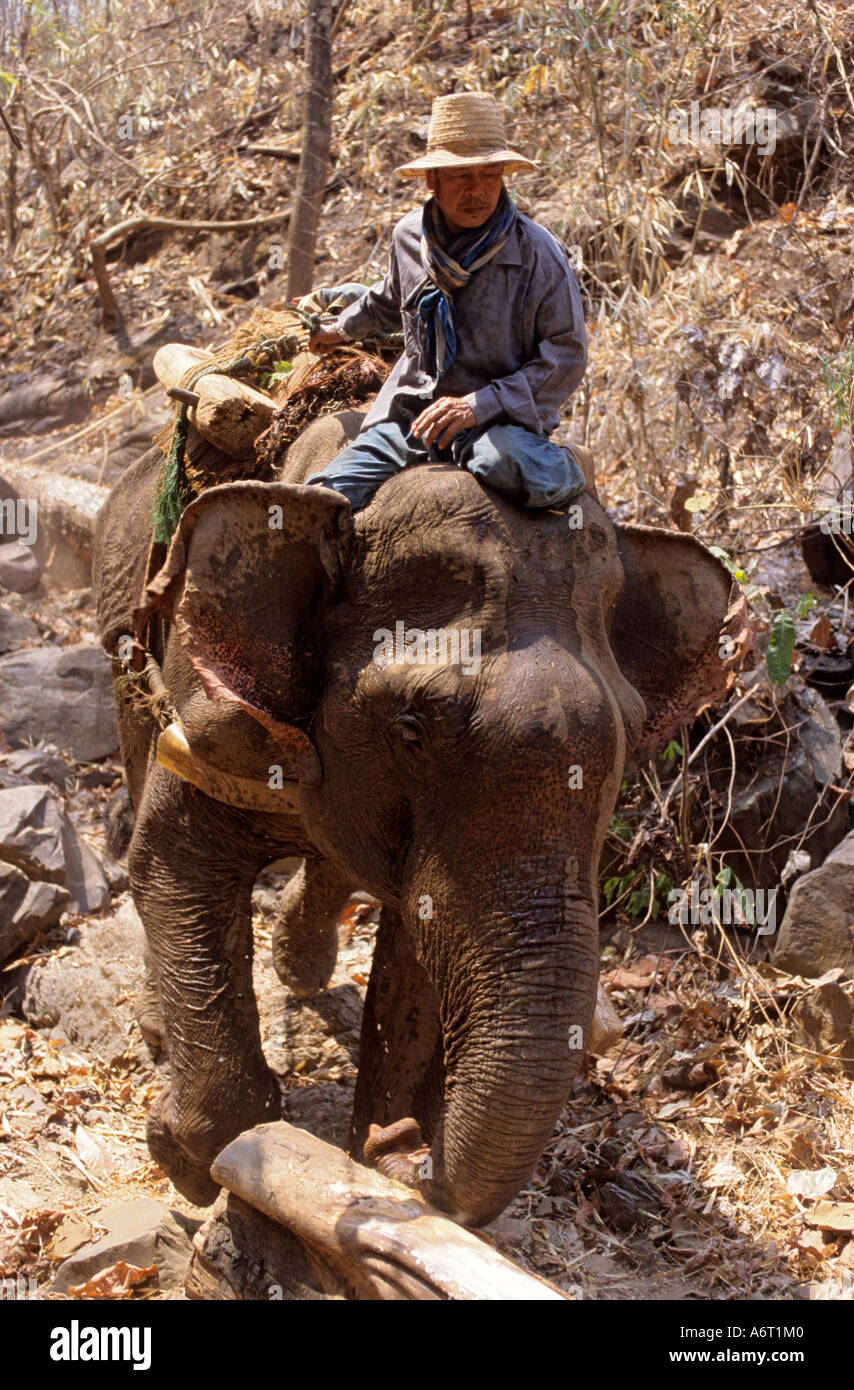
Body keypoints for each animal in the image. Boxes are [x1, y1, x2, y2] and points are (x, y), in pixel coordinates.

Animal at [93, 410, 748, 1226]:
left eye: (631, 739)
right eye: (412, 727)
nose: (405, 1146)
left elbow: (416, 940)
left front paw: (372, 1140)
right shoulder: (202, 705)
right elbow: (171, 859)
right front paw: (198, 1164)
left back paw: (300, 963)